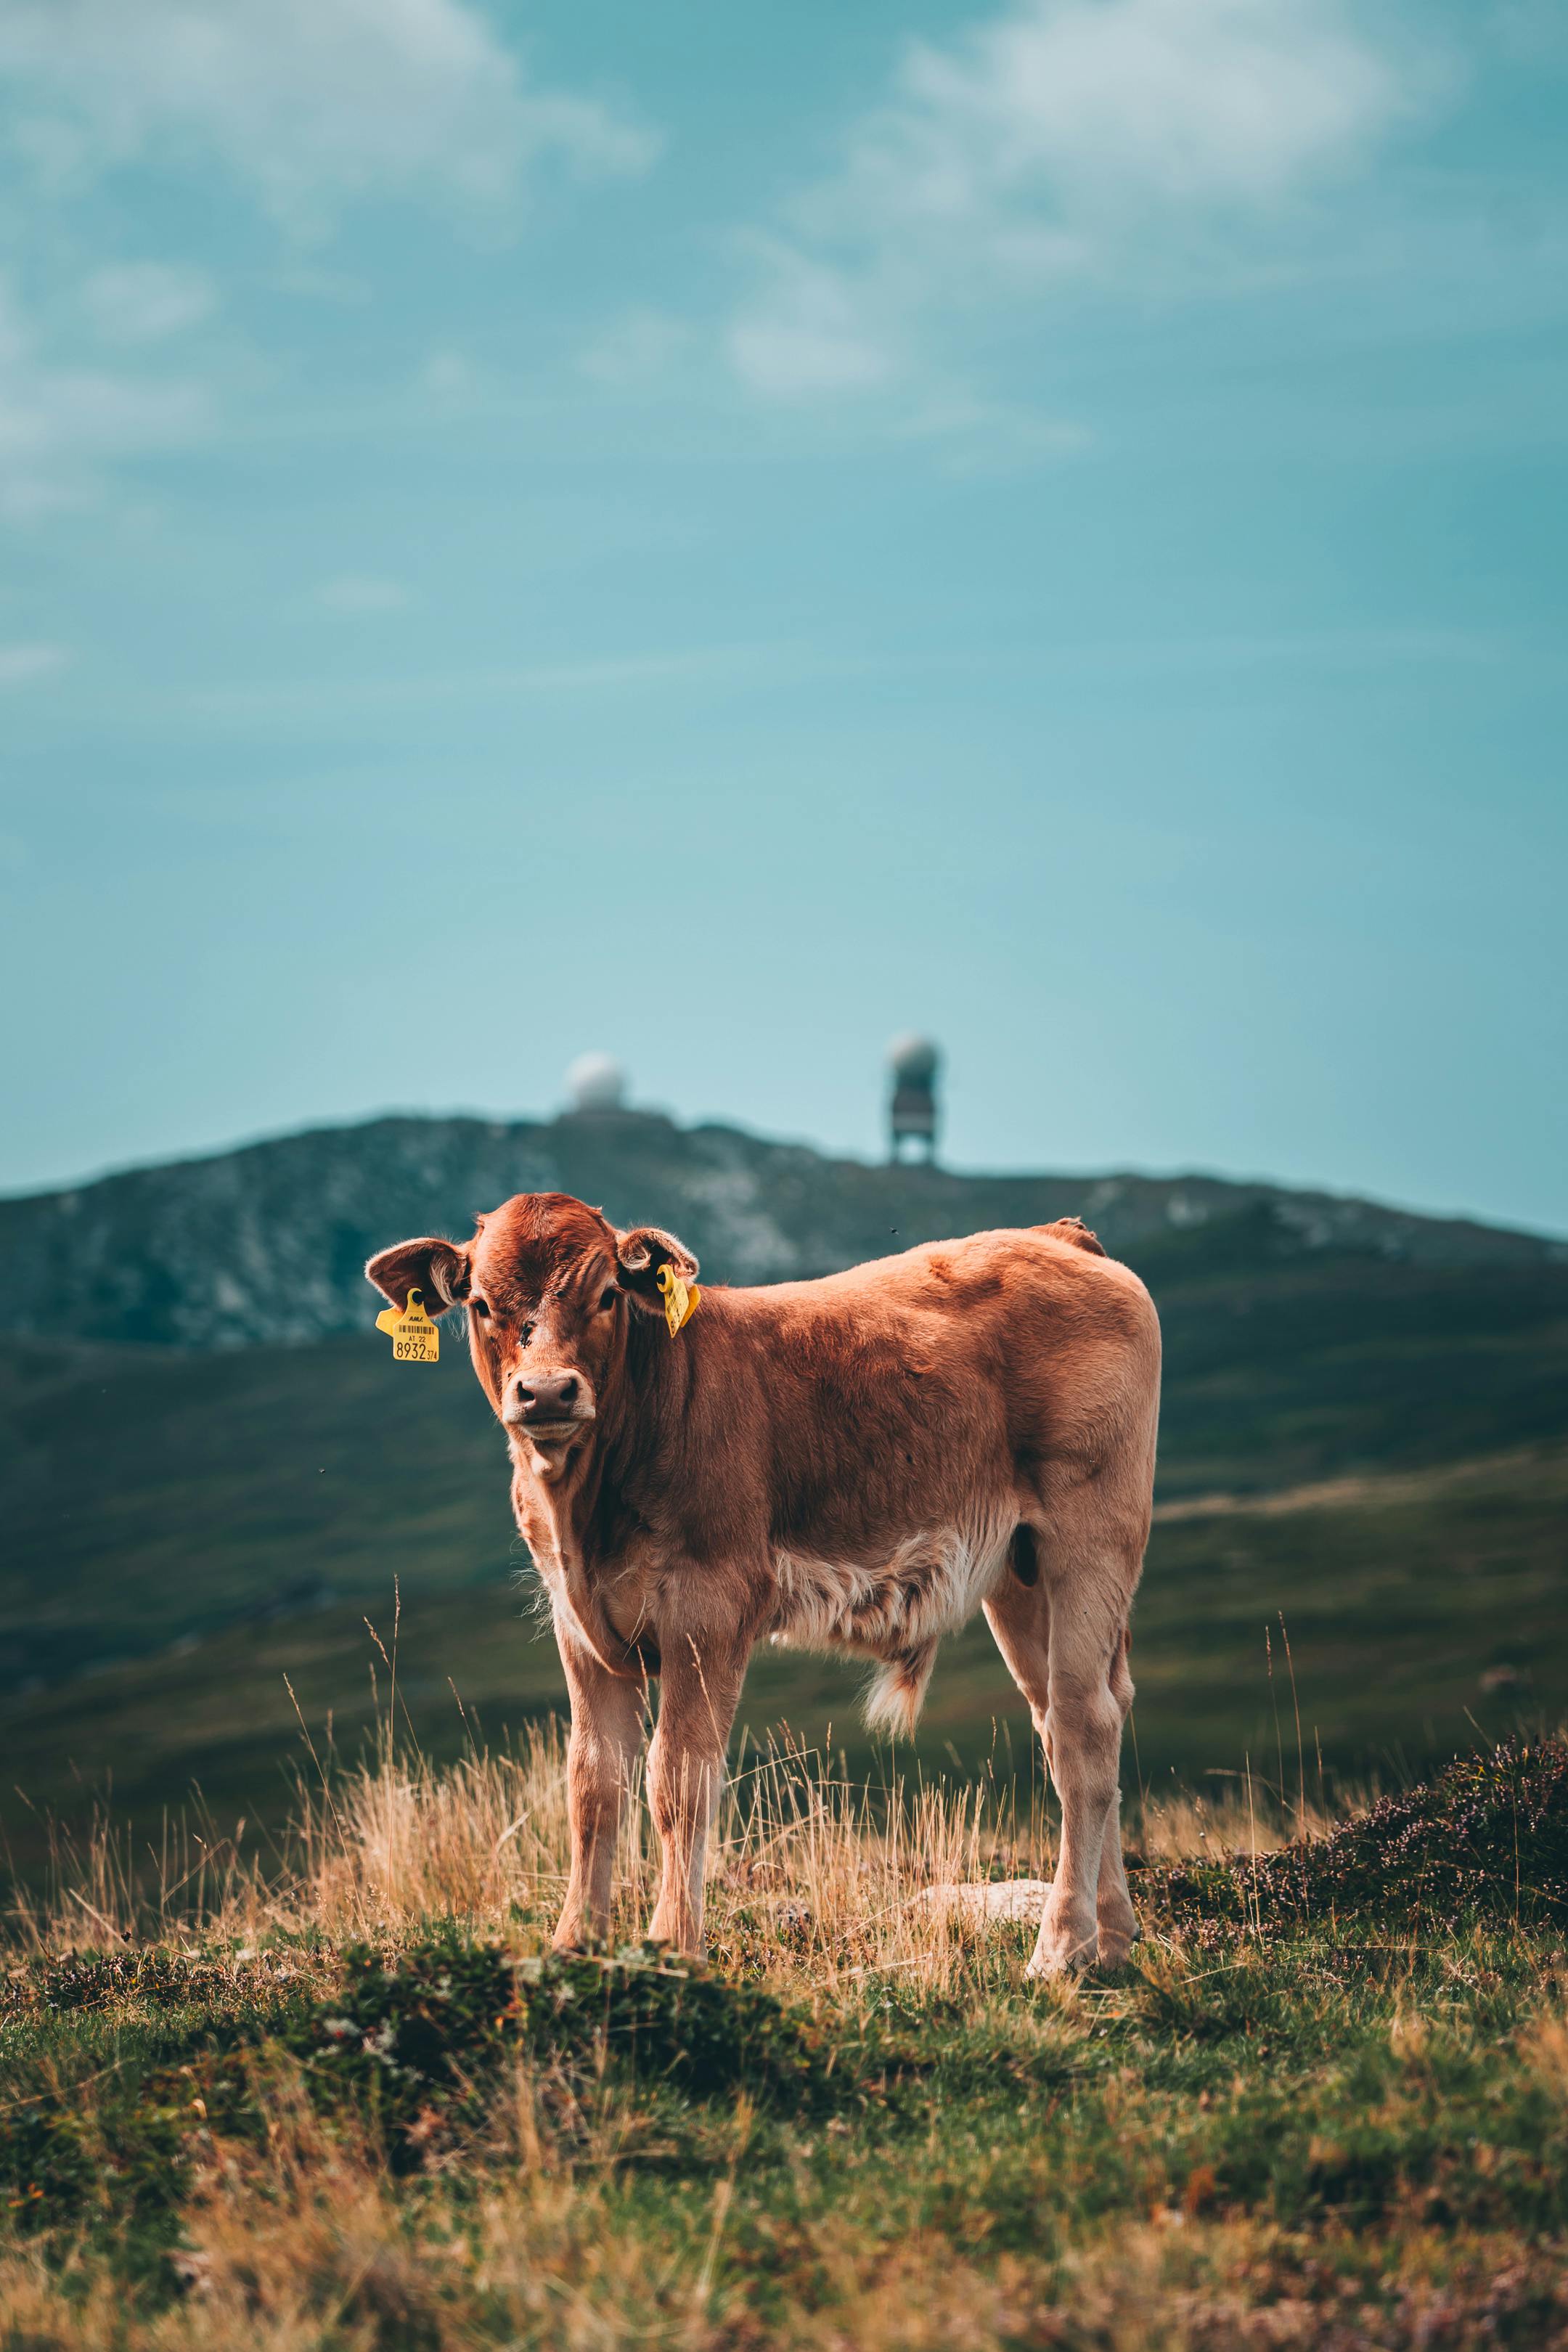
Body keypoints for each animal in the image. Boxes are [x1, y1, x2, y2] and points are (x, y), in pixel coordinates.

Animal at [366, 1194, 1161, 1976]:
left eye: (606, 1295)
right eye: (478, 1302)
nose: (548, 1391)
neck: (585, 1511)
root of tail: (1056, 1235)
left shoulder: (707, 1610)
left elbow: (678, 1779)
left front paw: (672, 1946)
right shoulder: (580, 1627)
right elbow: (593, 1783)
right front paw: (573, 1945)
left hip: (1092, 1531)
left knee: (1084, 1724)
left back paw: (1060, 1947)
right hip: (1017, 1574)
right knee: (1067, 1719)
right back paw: (1111, 1936)